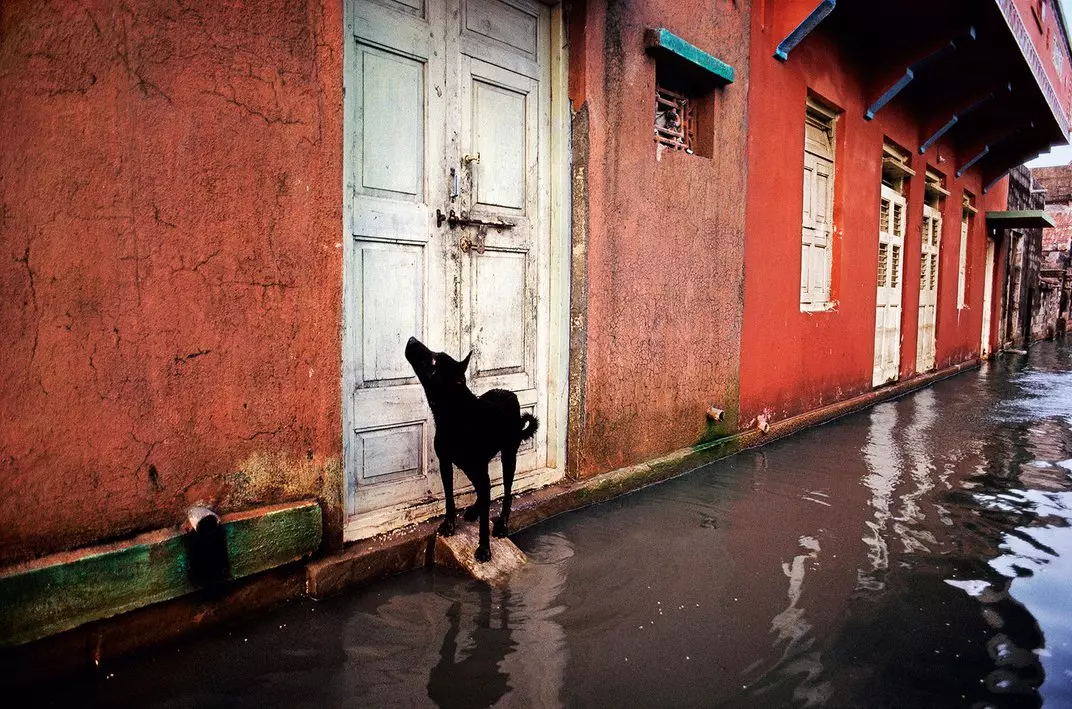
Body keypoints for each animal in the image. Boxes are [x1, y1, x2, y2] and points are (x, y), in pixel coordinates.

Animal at [403, 334, 536, 562]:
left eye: (435, 361)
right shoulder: (446, 464)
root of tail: (509, 392)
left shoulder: (479, 469)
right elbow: (449, 499)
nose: (411, 339)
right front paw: (450, 525)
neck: (455, 413)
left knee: (507, 493)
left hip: (508, 457)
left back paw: (502, 525)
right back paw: (475, 510)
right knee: (485, 492)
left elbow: (485, 520)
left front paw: (484, 549)